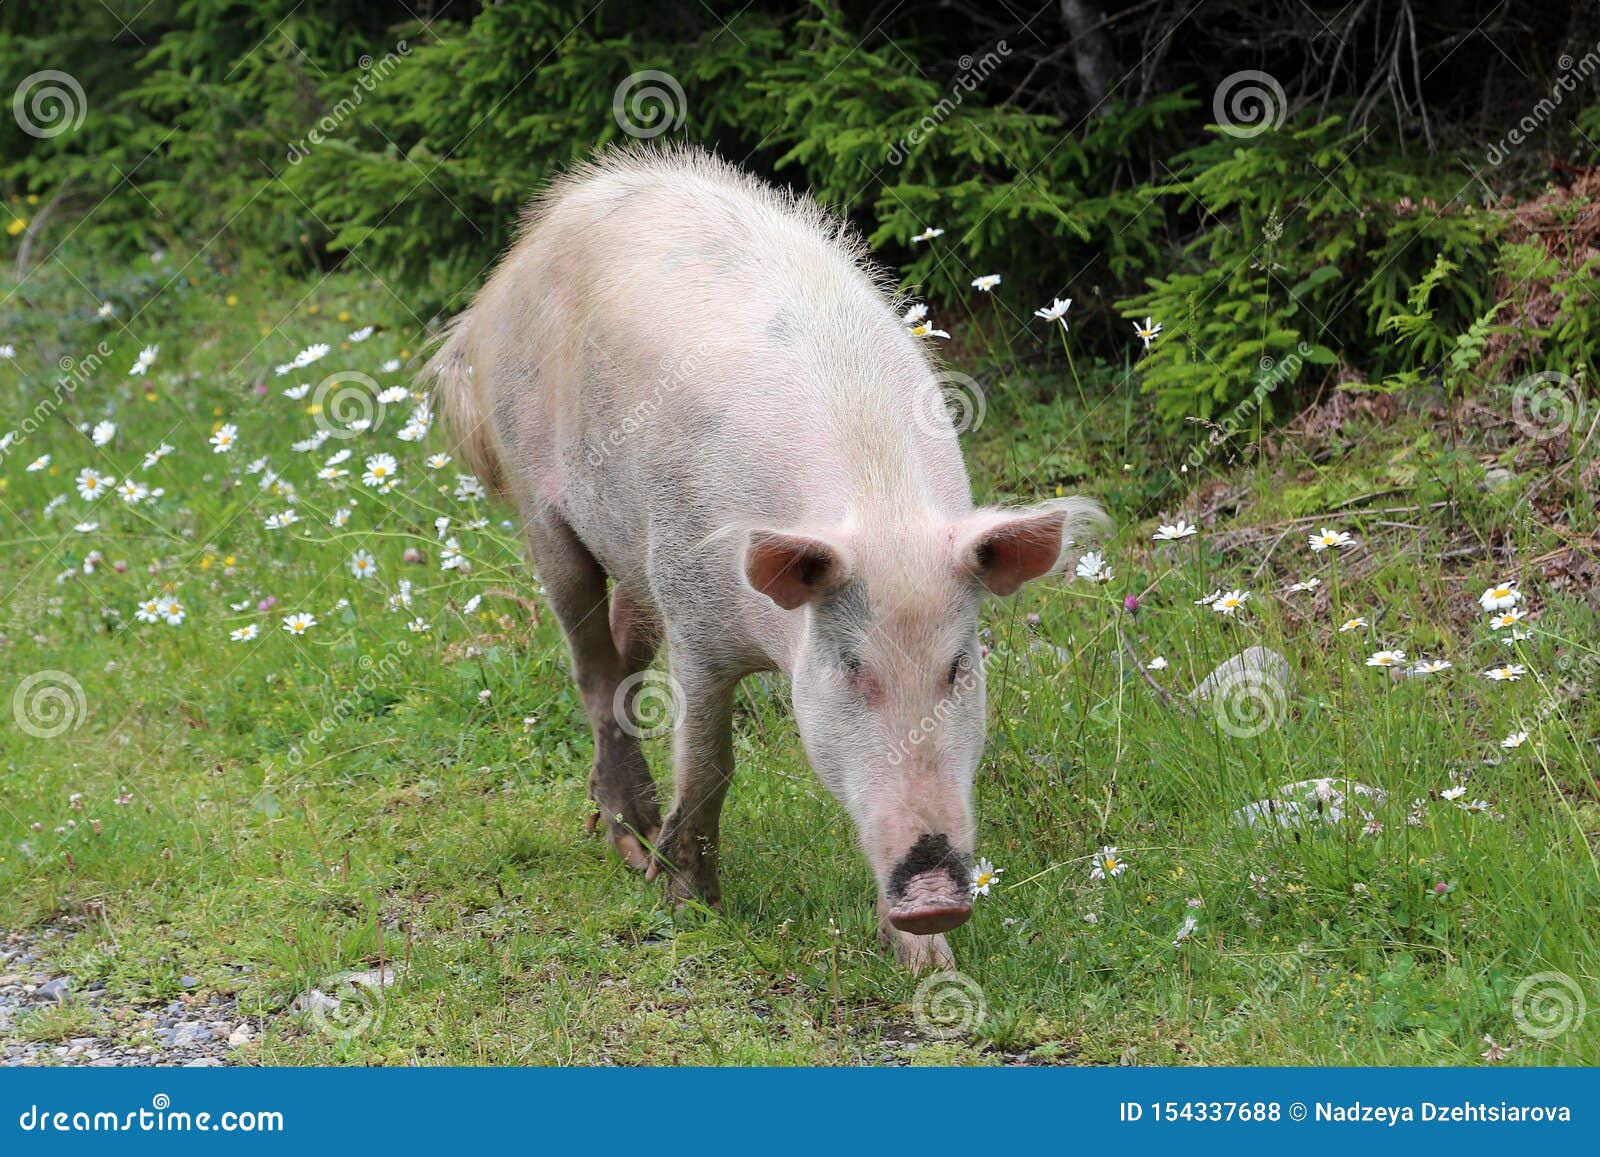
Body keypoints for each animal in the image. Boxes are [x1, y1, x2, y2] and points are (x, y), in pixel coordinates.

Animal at [426, 146, 1105, 970]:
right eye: (852, 668)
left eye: (958, 668)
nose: (936, 897)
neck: (878, 511)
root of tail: (527, 247)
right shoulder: (694, 614)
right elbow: (710, 762)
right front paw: (689, 903)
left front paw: (932, 967)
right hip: (539, 502)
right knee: (590, 665)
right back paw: (631, 843)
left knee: (624, 649)